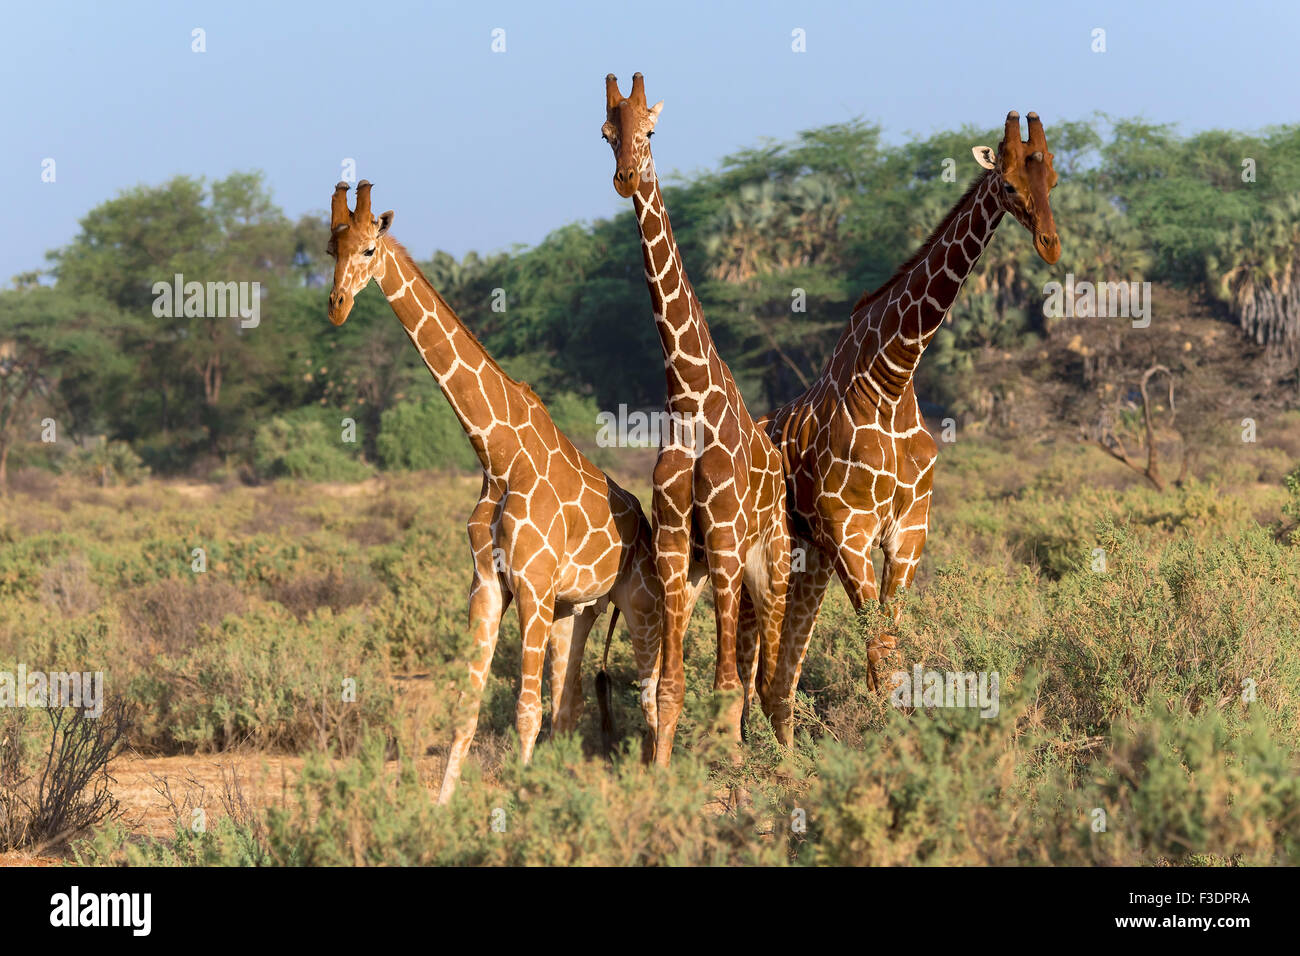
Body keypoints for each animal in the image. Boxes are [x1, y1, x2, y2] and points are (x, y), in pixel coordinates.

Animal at [326, 181, 664, 802]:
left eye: (368, 249)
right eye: (327, 250)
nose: (336, 307)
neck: (497, 454)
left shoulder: (531, 586)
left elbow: (525, 711)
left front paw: (516, 811)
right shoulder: (488, 584)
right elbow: (468, 707)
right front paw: (444, 809)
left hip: (639, 601)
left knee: (653, 694)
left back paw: (660, 786)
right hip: (577, 610)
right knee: (571, 705)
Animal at [603, 73, 792, 761]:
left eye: (652, 130)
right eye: (606, 132)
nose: (627, 177)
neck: (688, 398)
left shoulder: (729, 540)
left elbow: (727, 685)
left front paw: (737, 772)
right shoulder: (675, 547)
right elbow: (670, 686)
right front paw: (660, 774)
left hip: (771, 561)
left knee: (771, 673)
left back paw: (786, 757)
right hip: (710, 569)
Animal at [745, 111, 1061, 736]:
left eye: (1054, 180)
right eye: (1010, 184)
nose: (1050, 245)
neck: (890, 378)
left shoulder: (908, 530)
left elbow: (892, 648)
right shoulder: (850, 530)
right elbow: (878, 655)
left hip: (809, 557)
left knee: (780, 677)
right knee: (757, 669)